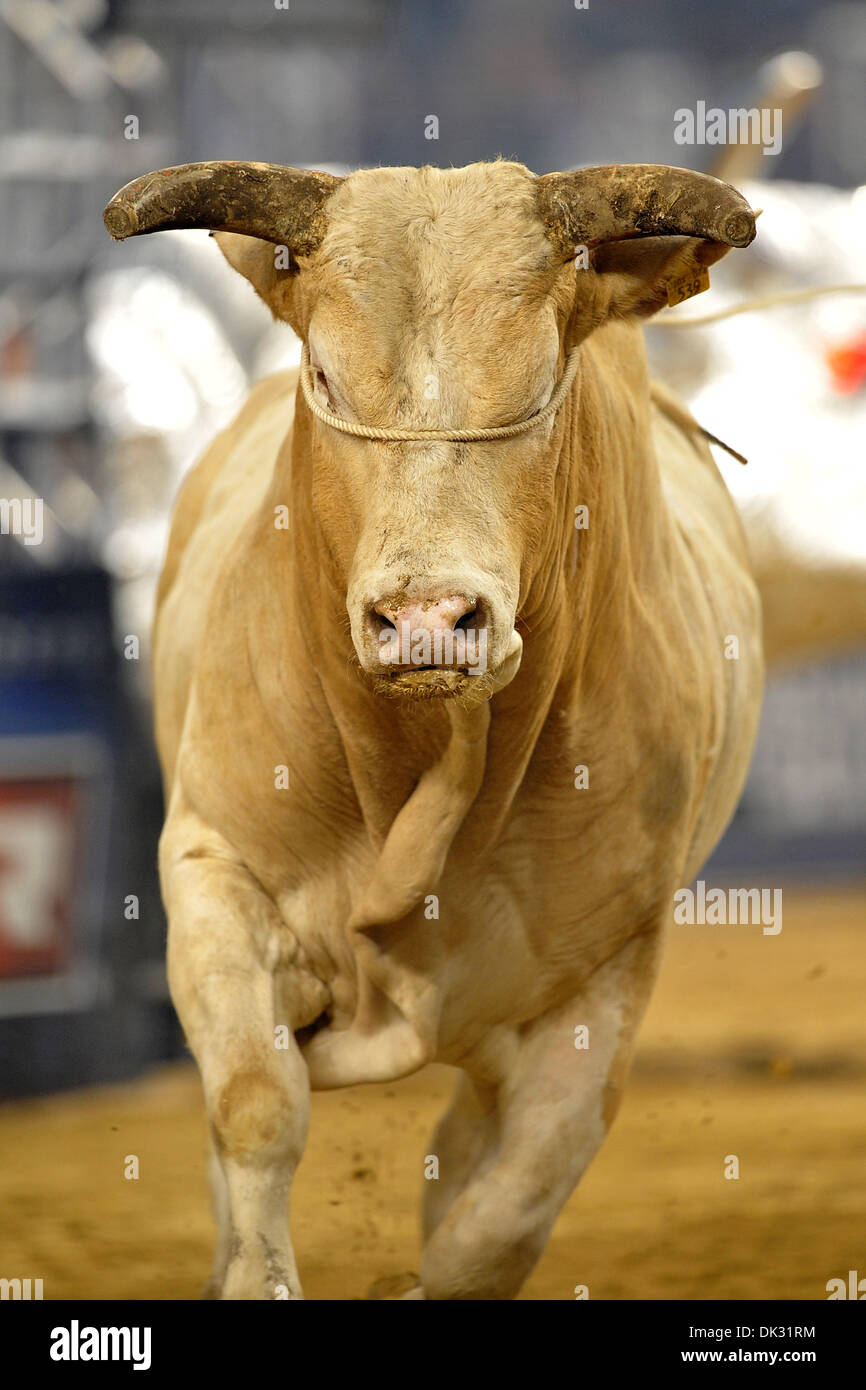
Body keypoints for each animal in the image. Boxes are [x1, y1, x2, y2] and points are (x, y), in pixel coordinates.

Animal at [104, 158, 764, 1300]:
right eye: (324, 374)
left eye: (540, 378)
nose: (425, 620)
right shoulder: (215, 869)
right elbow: (255, 1108)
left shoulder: (608, 970)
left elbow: (501, 1215)